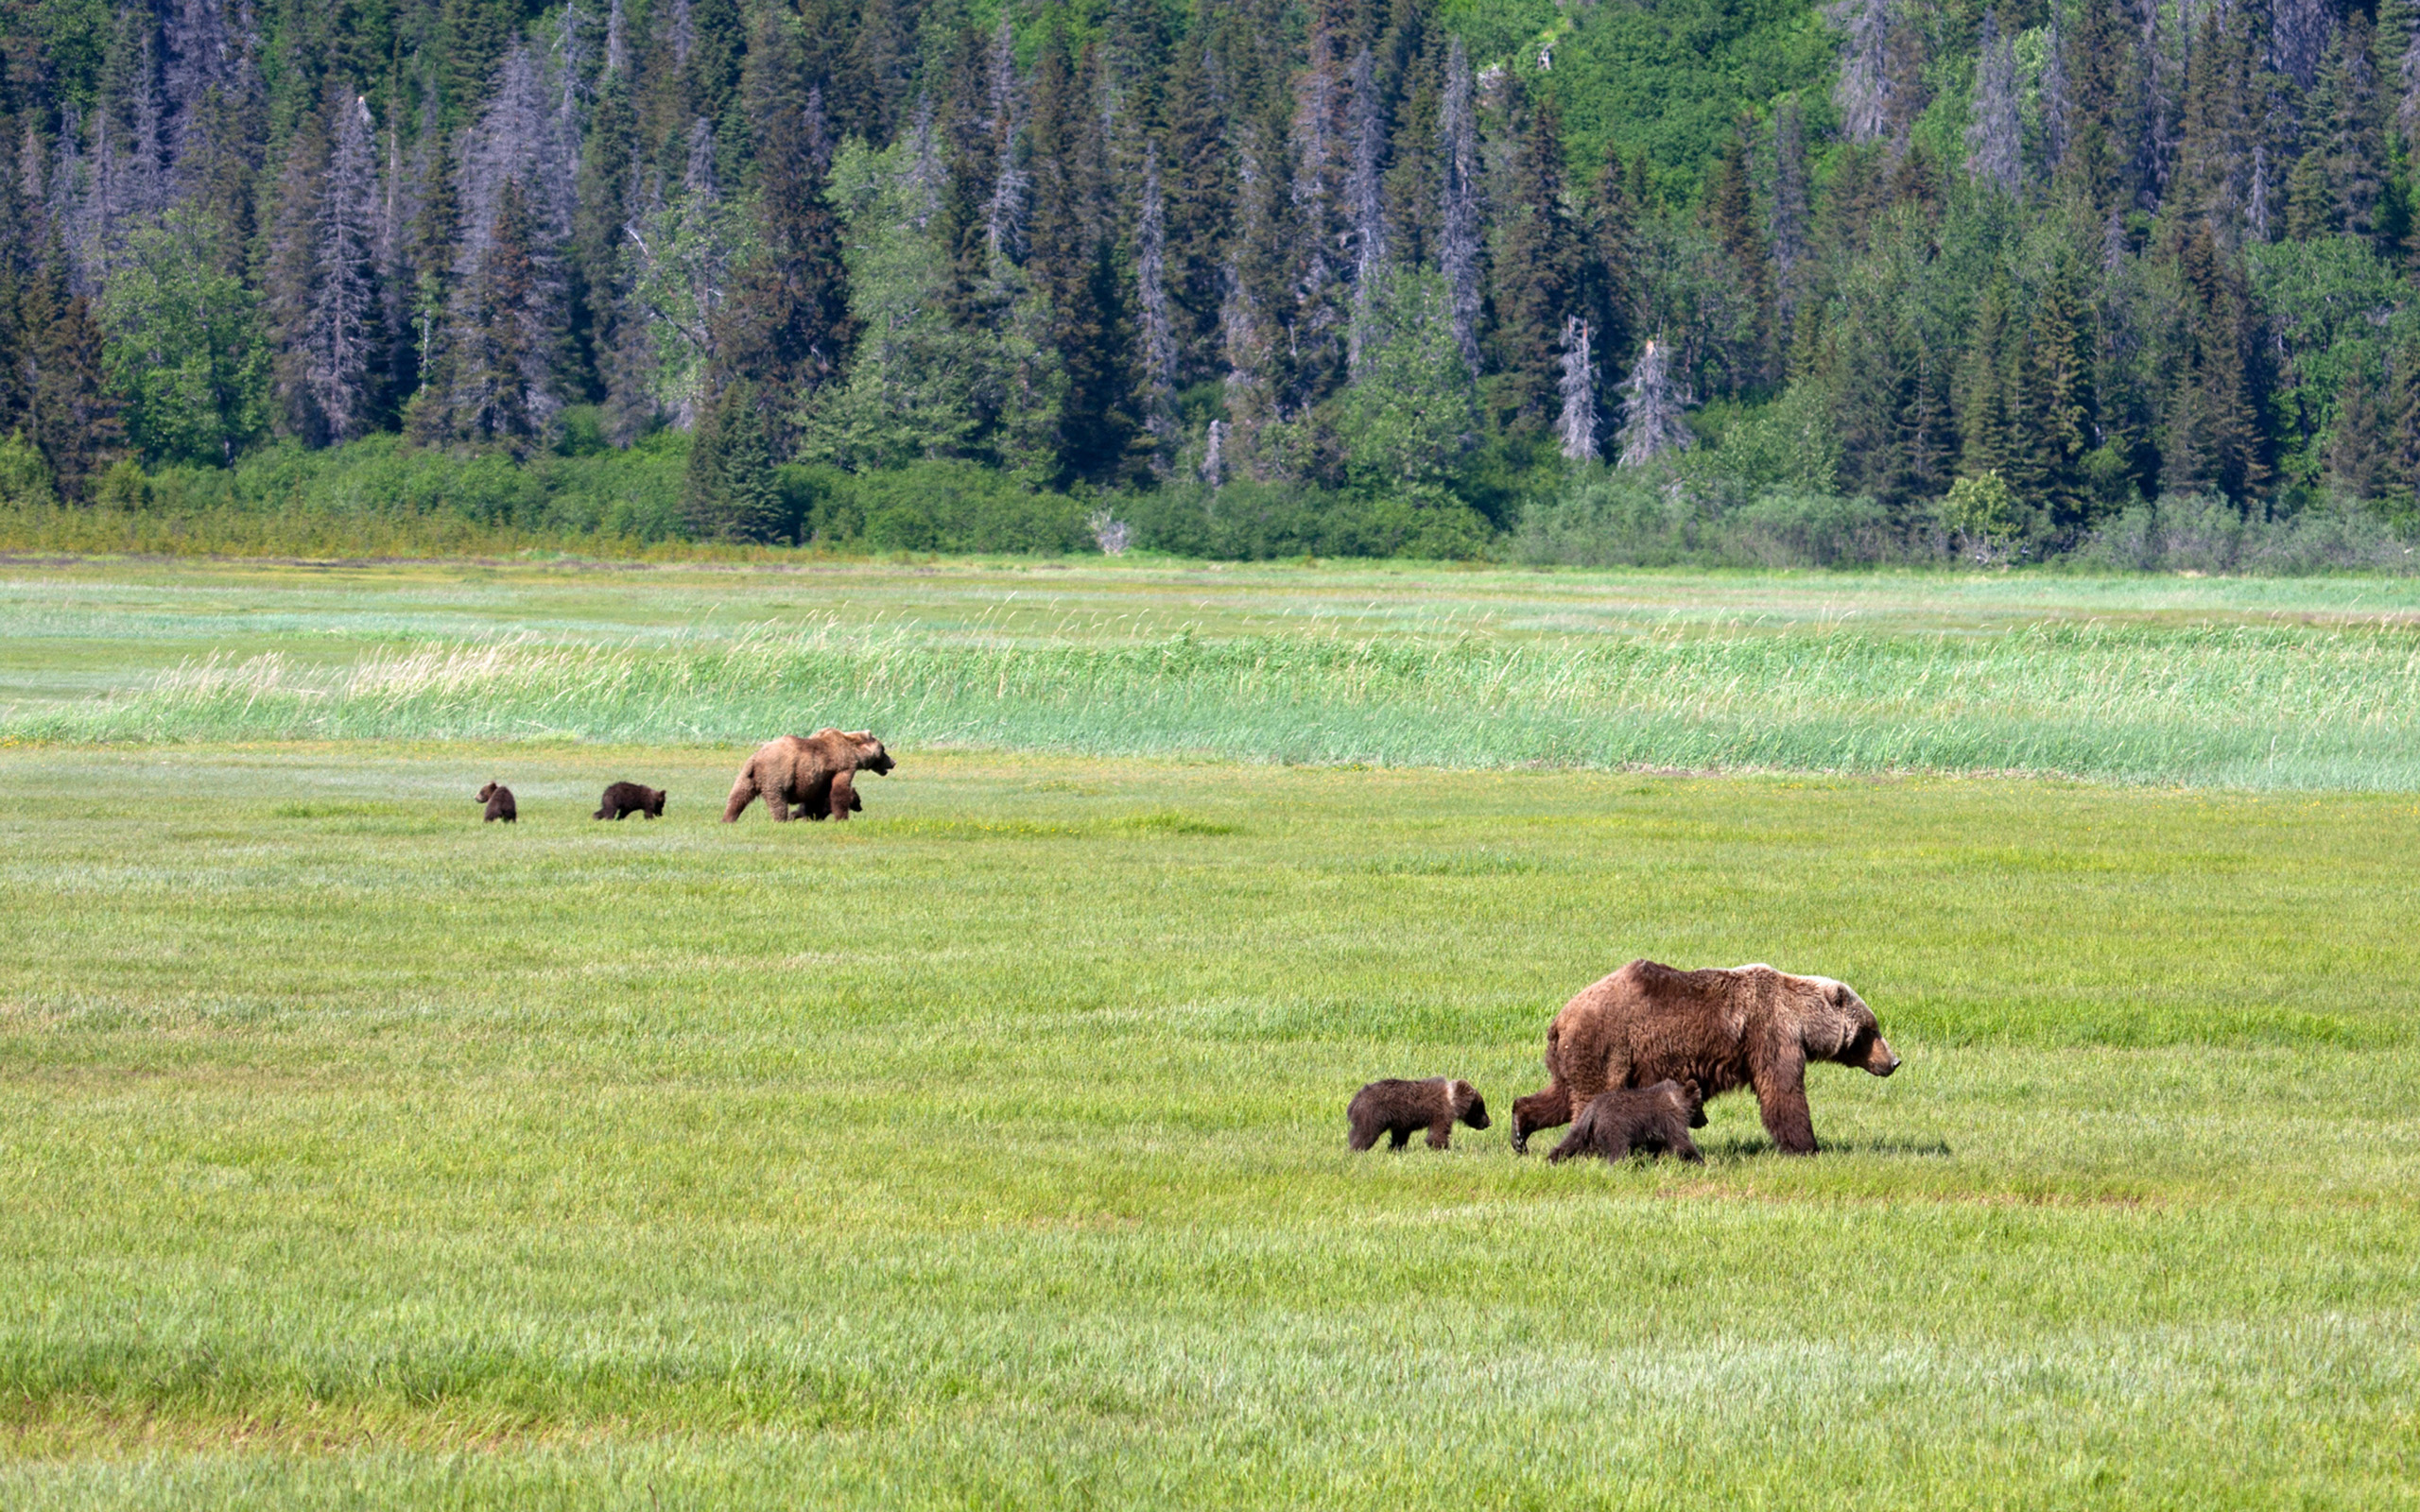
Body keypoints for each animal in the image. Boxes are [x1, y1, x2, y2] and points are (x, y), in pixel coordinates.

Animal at [722, 729, 895, 822]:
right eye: (883, 749)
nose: (893, 762)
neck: (855, 753)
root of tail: (757, 758)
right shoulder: (842, 768)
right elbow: (839, 792)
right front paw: (842, 818)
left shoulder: (820, 778)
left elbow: (816, 798)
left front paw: (813, 816)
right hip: (776, 773)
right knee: (777, 799)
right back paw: (780, 820)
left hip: (747, 775)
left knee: (738, 795)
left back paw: (728, 819)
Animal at [1346, 1077, 1490, 1151]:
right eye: (1481, 1107)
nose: (1489, 1122)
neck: (1452, 1099)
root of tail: (1355, 1100)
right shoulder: (1440, 1113)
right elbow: (1438, 1133)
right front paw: (1442, 1147)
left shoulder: (1402, 1122)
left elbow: (1400, 1135)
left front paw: (1396, 1149)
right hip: (1372, 1115)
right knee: (1365, 1133)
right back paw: (1357, 1149)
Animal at [1507, 959, 1899, 1156]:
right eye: (1871, 1029)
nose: (1894, 1062)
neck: (1801, 1018)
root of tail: (1560, 1019)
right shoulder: (1771, 1034)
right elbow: (1782, 1092)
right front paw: (1807, 1146)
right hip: (1606, 1045)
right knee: (1588, 1097)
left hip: (1573, 1055)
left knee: (1561, 1094)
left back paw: (1520, 1130)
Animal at [1546, 1080, 1707, 1166]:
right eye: (1701, 1105)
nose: (1706, 1121)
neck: (1678, 1103)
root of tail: (1594, 1110)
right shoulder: (1670, 1120)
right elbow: (1681, 1142)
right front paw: (1700, 1161)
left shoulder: (1656, 1128)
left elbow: (1658, 1145)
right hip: (1616, 1127)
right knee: (1618, 1150)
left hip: (1583, 1125)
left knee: (1570, 1141)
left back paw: (1552, 1158)